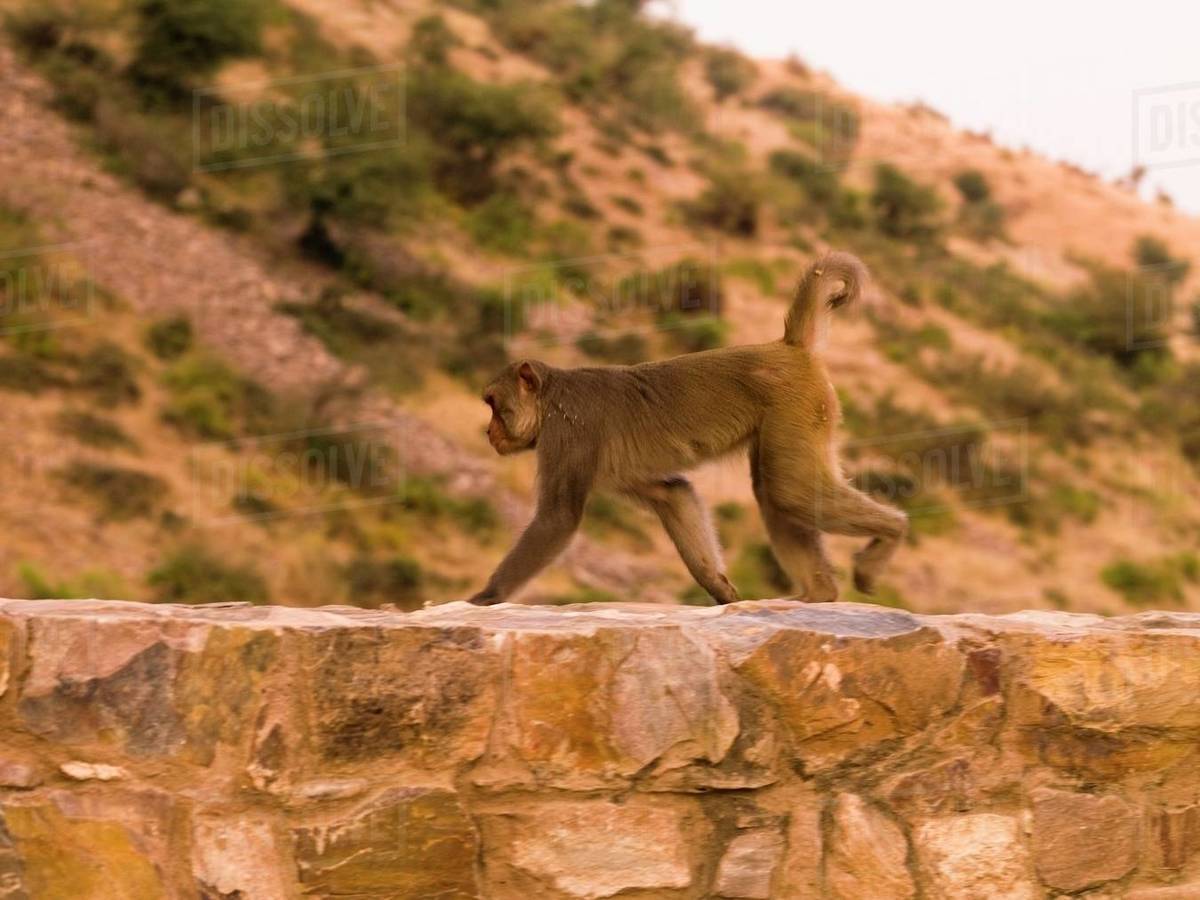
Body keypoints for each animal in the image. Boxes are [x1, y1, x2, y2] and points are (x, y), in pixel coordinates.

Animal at [467, 251, 907, 606]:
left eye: (493, 406)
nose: (489, 433)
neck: (551, 400)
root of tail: (787, 347)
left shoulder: (569, 436)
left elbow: (558, 518)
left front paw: (486, 597)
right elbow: (672, 495)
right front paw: (720, 588)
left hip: (798, 406)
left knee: (789, 490)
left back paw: (892, 532)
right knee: (776, 491)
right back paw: (820, 592)